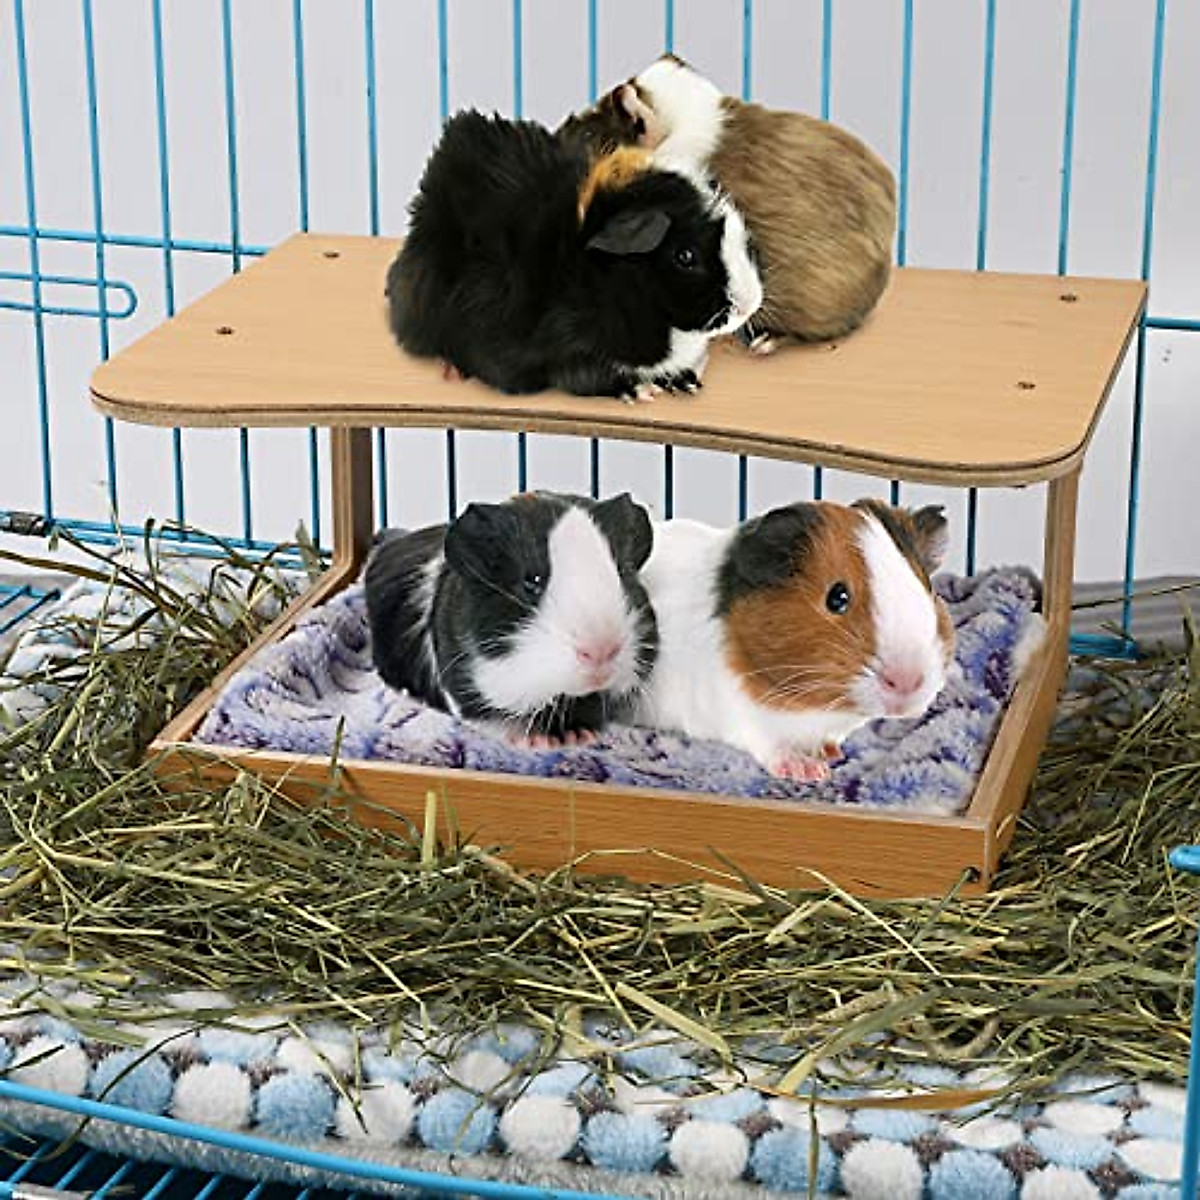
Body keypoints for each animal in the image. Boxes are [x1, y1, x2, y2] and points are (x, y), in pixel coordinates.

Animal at [386, 109, 762, 400]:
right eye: (685, 256)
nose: (749, 305)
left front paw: (686, 383)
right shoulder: (565, 350)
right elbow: (587, 376)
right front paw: (642, 391)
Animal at [634, 499, 954, 780]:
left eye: (927, 590)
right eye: (837, 597)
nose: (908, 682)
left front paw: (830, 753)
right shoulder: (739, 715)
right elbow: (770, 745)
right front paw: (809, 771)